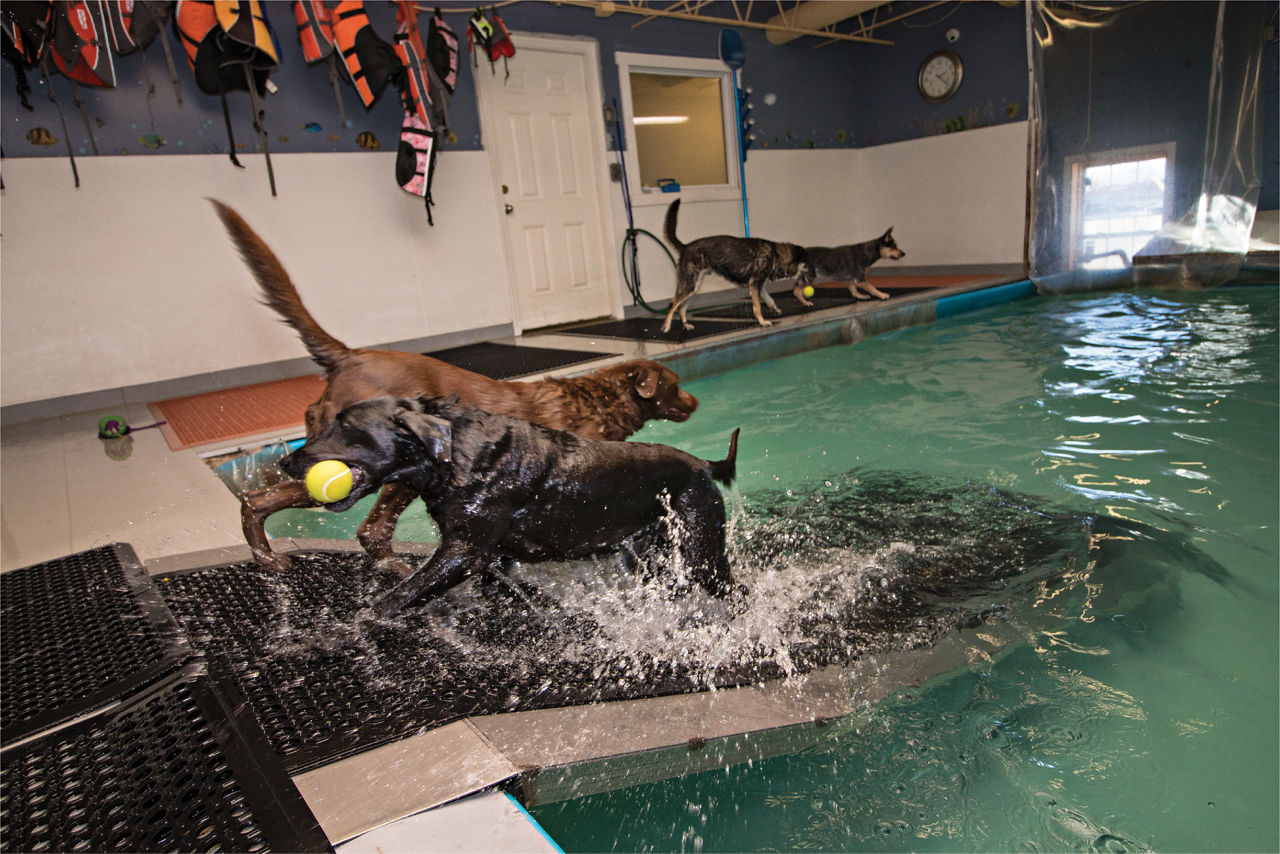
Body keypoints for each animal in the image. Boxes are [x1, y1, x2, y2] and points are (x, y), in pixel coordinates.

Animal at [213, 197, 706, 578]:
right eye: (676, 384)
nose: (696, 400)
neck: (596, 402)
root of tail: (348, 355)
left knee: (277, 505)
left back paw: (278, 562)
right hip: (378, 470)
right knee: (347, 523)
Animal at [279, 396, 742, 617]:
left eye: (345, 426)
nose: (286, 462)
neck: (455, 456)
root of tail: (702, 464)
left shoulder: (463, 552)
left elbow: (397, 597)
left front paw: (350, 626)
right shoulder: (492, 560)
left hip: (702, 554)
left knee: (736, 592)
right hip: (650, 557)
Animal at [660, 198, 808, 332]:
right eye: (807, 262)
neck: (776, 254)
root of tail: (685, 247)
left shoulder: (758, 285)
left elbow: (769, 299)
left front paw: (775, 308)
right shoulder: (755, 284)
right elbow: (757, 307)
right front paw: (762, 321)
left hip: (694, 287)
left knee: (681, 307)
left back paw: (686, 325)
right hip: (691, 285)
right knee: (673, 303)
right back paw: (666, 326)